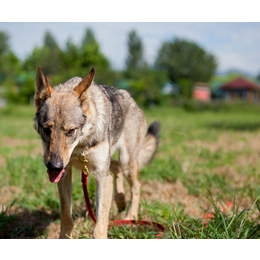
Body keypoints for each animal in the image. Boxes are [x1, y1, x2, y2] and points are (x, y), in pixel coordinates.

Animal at [33, 66, 159, 239]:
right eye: (46, 129)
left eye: (71, 131)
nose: (54, 166)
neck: (80, 146)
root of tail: (134, 102)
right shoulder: (66, 174)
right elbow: (66, 217)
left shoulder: (100, 176)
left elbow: (99, 227)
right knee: (116, 169)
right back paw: (120, 200)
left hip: (127, 163)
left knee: (136, 186)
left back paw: (130, 216)